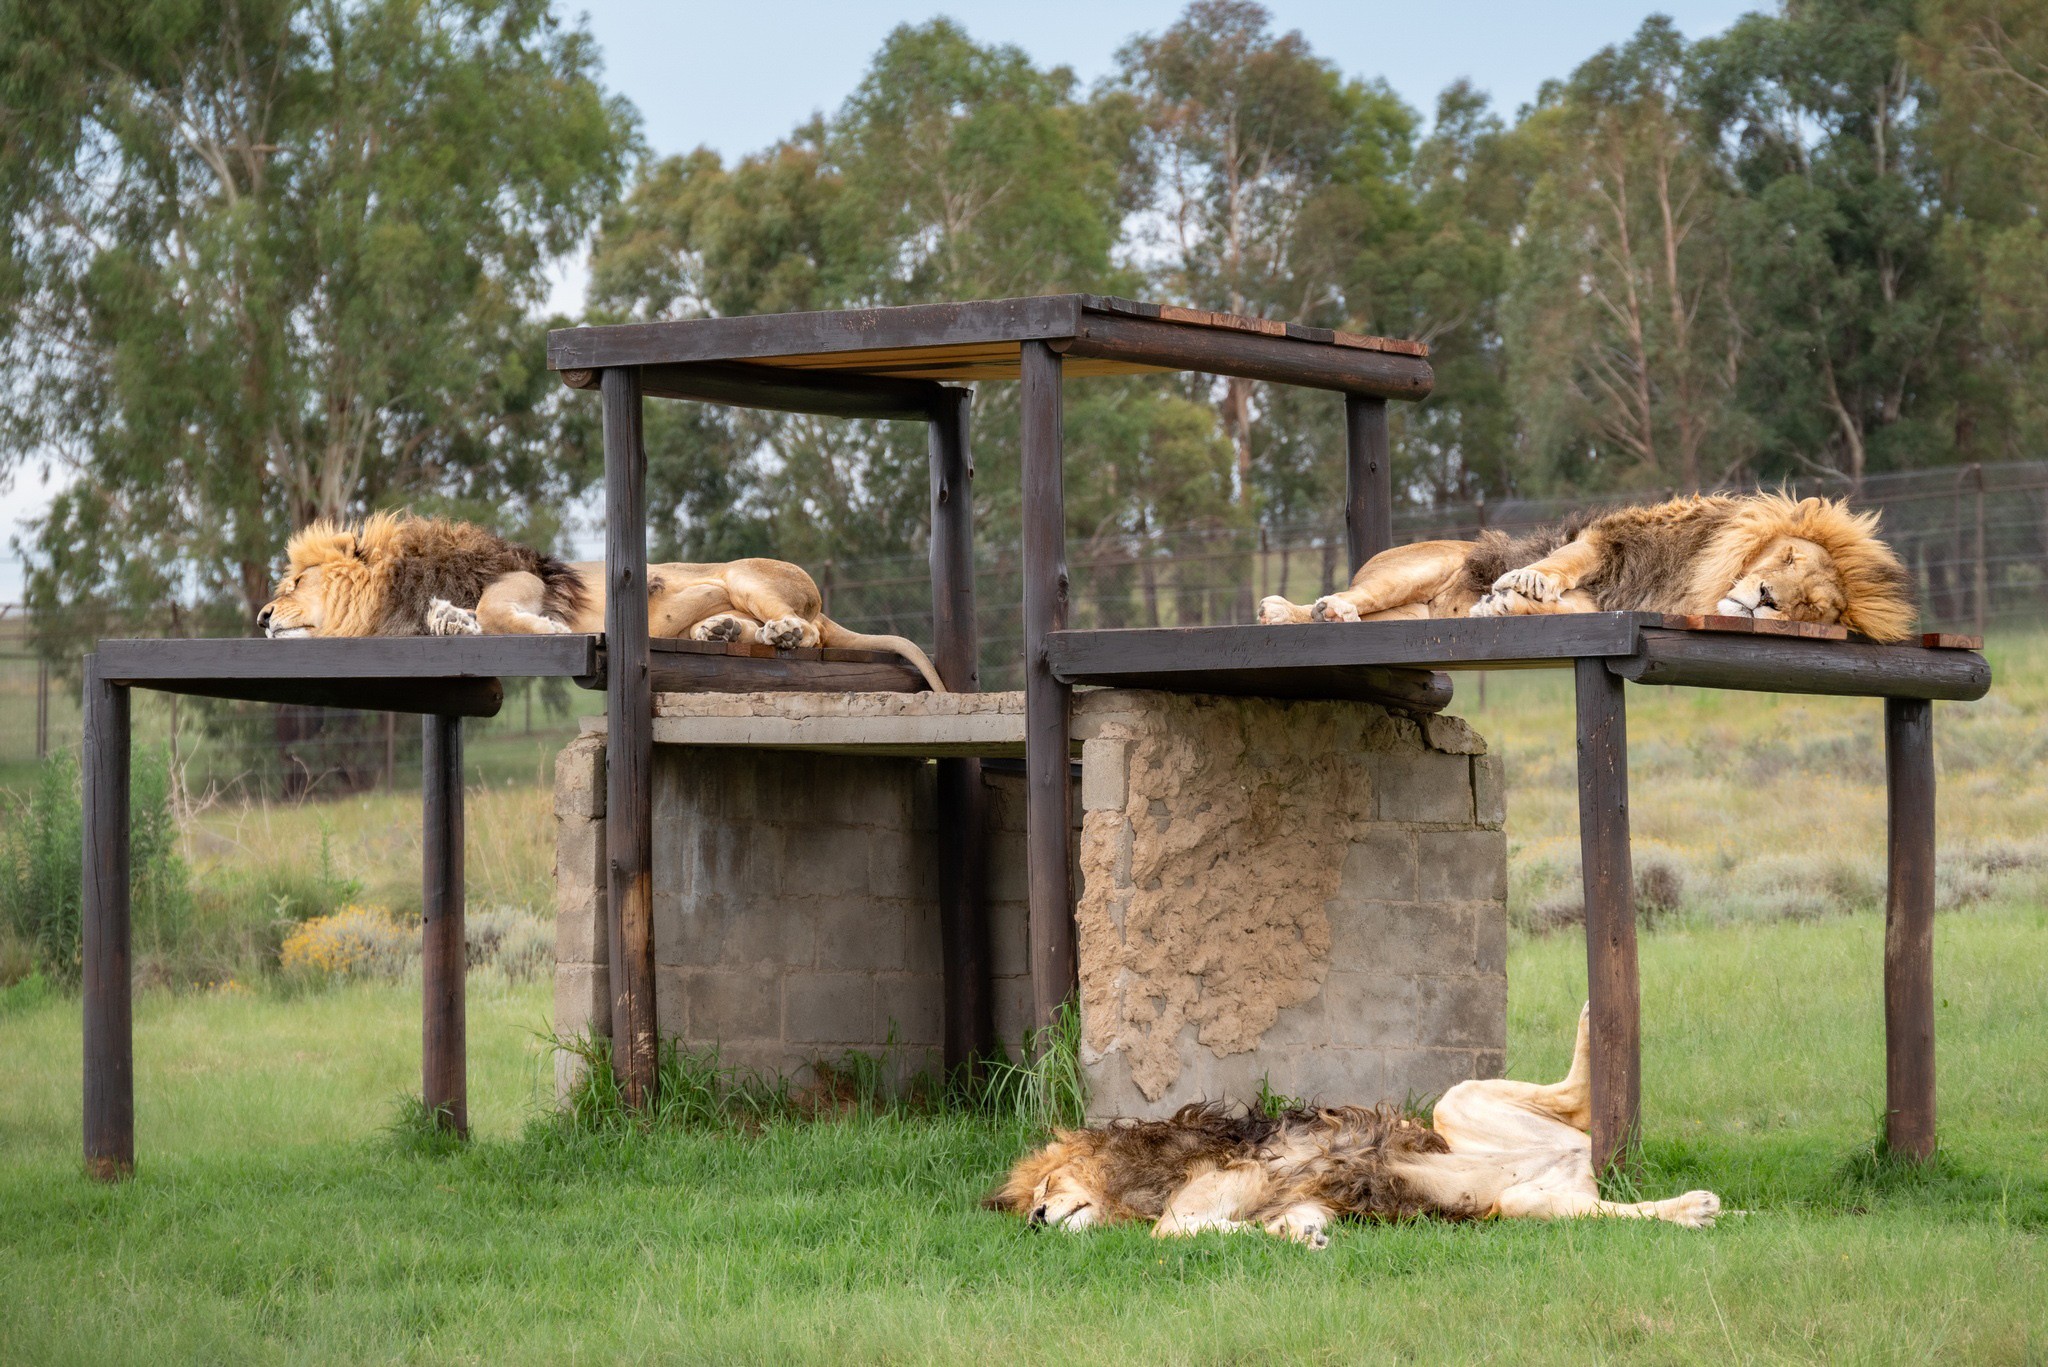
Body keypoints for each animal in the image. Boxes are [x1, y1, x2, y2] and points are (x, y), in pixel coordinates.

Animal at [257, 512, 947, 691]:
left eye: (292, 584)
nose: (260, 617)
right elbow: (466, 622)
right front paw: (449, 620)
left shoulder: (522, 578)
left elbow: (501, 612)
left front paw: (546, 633)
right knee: (750, 630)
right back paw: (719, 634)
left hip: (748, 575)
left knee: (807, 634)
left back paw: (778, 633)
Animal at [986, 1006, 1723, 1247]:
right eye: (1032, 1204)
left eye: (1046, 1186)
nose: (1036, 1221)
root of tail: (1576, 1167)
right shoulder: (1304, 1199)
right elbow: (1209, 1230)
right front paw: (1297, 1237)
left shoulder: (1226, 1175)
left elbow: (1171, 1230)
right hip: (1524, 1202)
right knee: (1610, 1207)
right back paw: (1692, 1210)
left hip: (1455, 1101)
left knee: (1574, 1096)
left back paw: (1595, 1017)